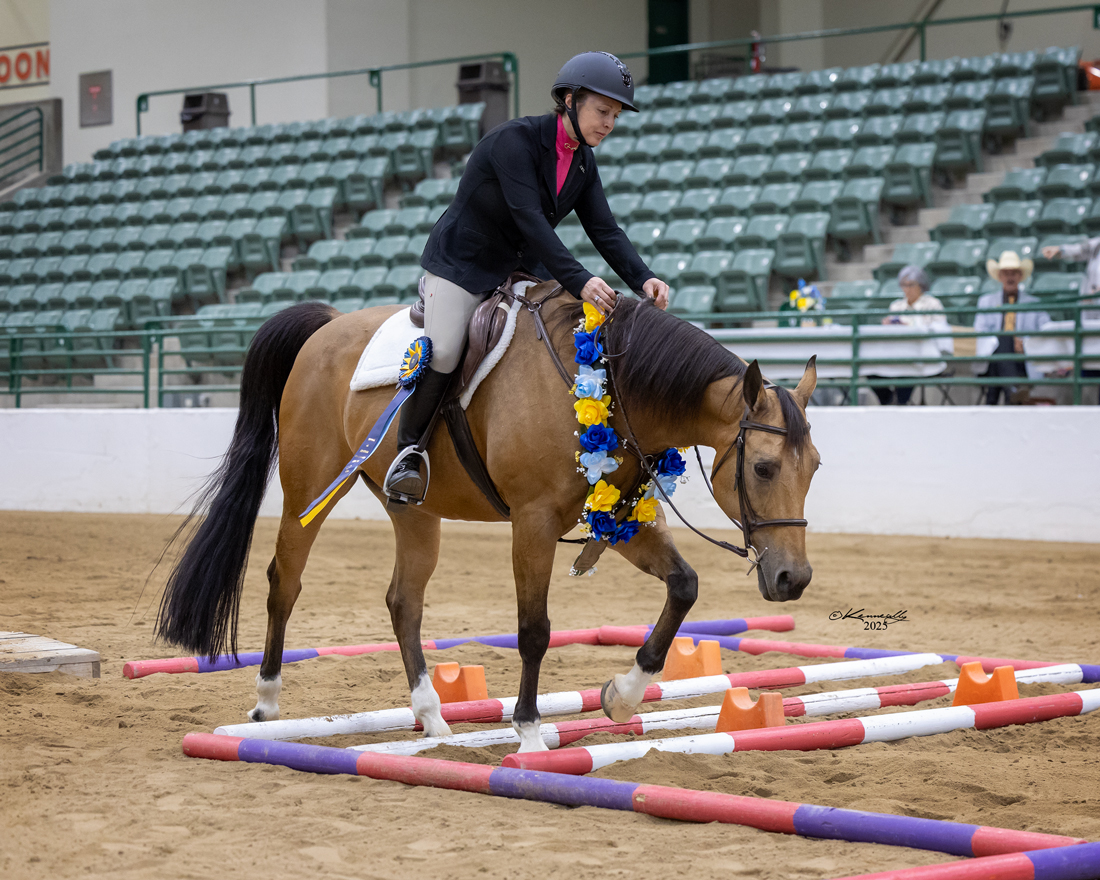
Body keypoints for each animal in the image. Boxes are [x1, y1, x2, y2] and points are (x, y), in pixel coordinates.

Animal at [156, 283, 820, 752]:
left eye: (814, 466)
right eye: (763, 469)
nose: (794, 580)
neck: (611, 382)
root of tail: (327, 327)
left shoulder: (617, 520)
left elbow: (683, 585)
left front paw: (622, 696)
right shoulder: (533, 522)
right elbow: (534, 630)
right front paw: (528, 733)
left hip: (413, 511)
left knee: (403, 600)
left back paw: (432, 717)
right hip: (309, 489)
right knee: (284, 582)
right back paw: (266, 703)